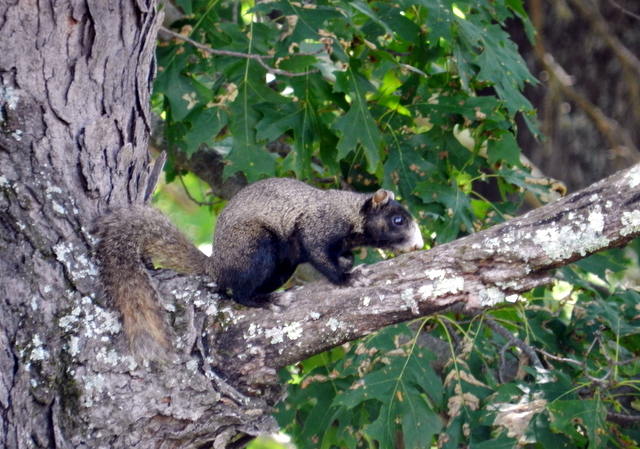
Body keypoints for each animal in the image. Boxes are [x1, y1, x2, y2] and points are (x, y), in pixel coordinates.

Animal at [94, 177, 424, 360]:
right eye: (397, 220)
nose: (419, 244)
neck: (349, 214)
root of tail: (216, 266)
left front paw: (349, 262)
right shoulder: (317, 229)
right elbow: (321, 258)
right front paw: (348, 277)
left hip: (282, 266)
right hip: (257, 246)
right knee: (238, 293)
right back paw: (267, 299)